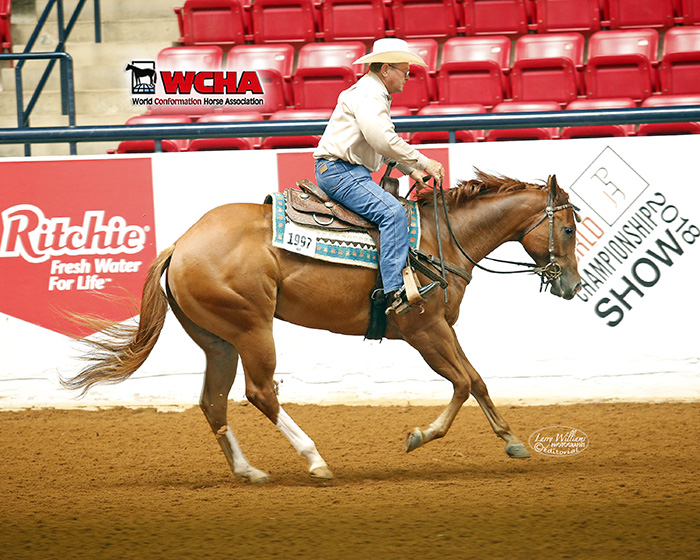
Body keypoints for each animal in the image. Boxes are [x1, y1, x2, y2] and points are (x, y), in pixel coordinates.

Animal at [62, 170, 582, 483]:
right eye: (571, 228)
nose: (573, 285)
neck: (439, 240)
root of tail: (180, 245)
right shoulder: (425, 331)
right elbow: (462, 382)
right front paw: (421, 436)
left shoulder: (442, 331)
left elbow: (476, 380)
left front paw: (511, 440)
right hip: (252, 330)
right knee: (260, 392)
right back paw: (315, 460)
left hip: (218, 341)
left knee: (213, 401)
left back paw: (249, 471)